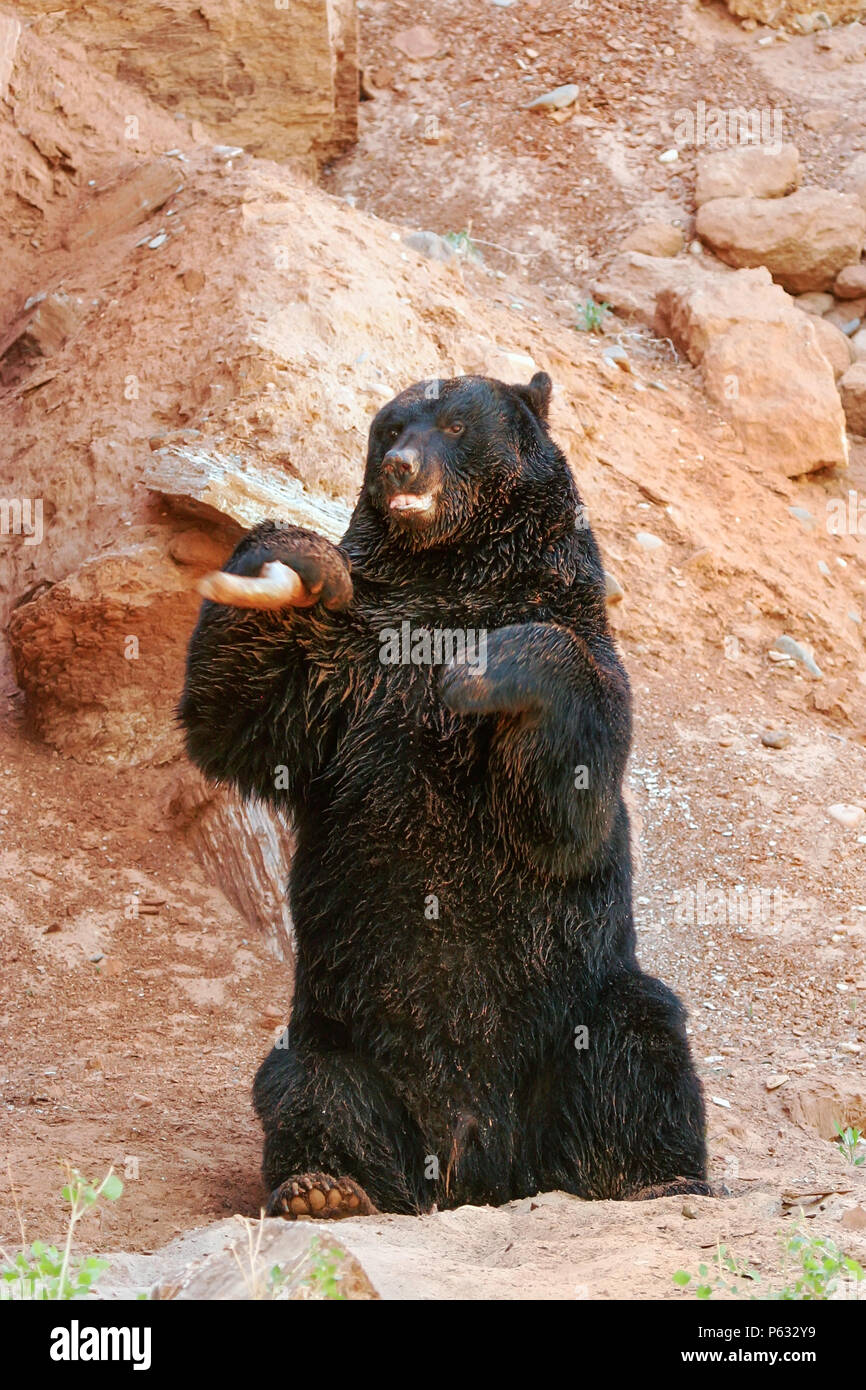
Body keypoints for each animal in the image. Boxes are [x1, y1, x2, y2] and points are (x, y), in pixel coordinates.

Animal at [179, 372, 708, 1219]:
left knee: (636, 1041)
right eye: (390, 428)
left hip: (570, 1013)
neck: (449, 582)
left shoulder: (577, 648)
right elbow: (237, 718)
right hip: (345, 1035)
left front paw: (482, 668)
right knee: (309, 1083)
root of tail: (476, 1168)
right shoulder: (347, 676)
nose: (400, 464)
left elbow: (566, 805)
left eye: (456, 424)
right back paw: (327, 1187)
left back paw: (659, 1177)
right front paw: (295, 559)